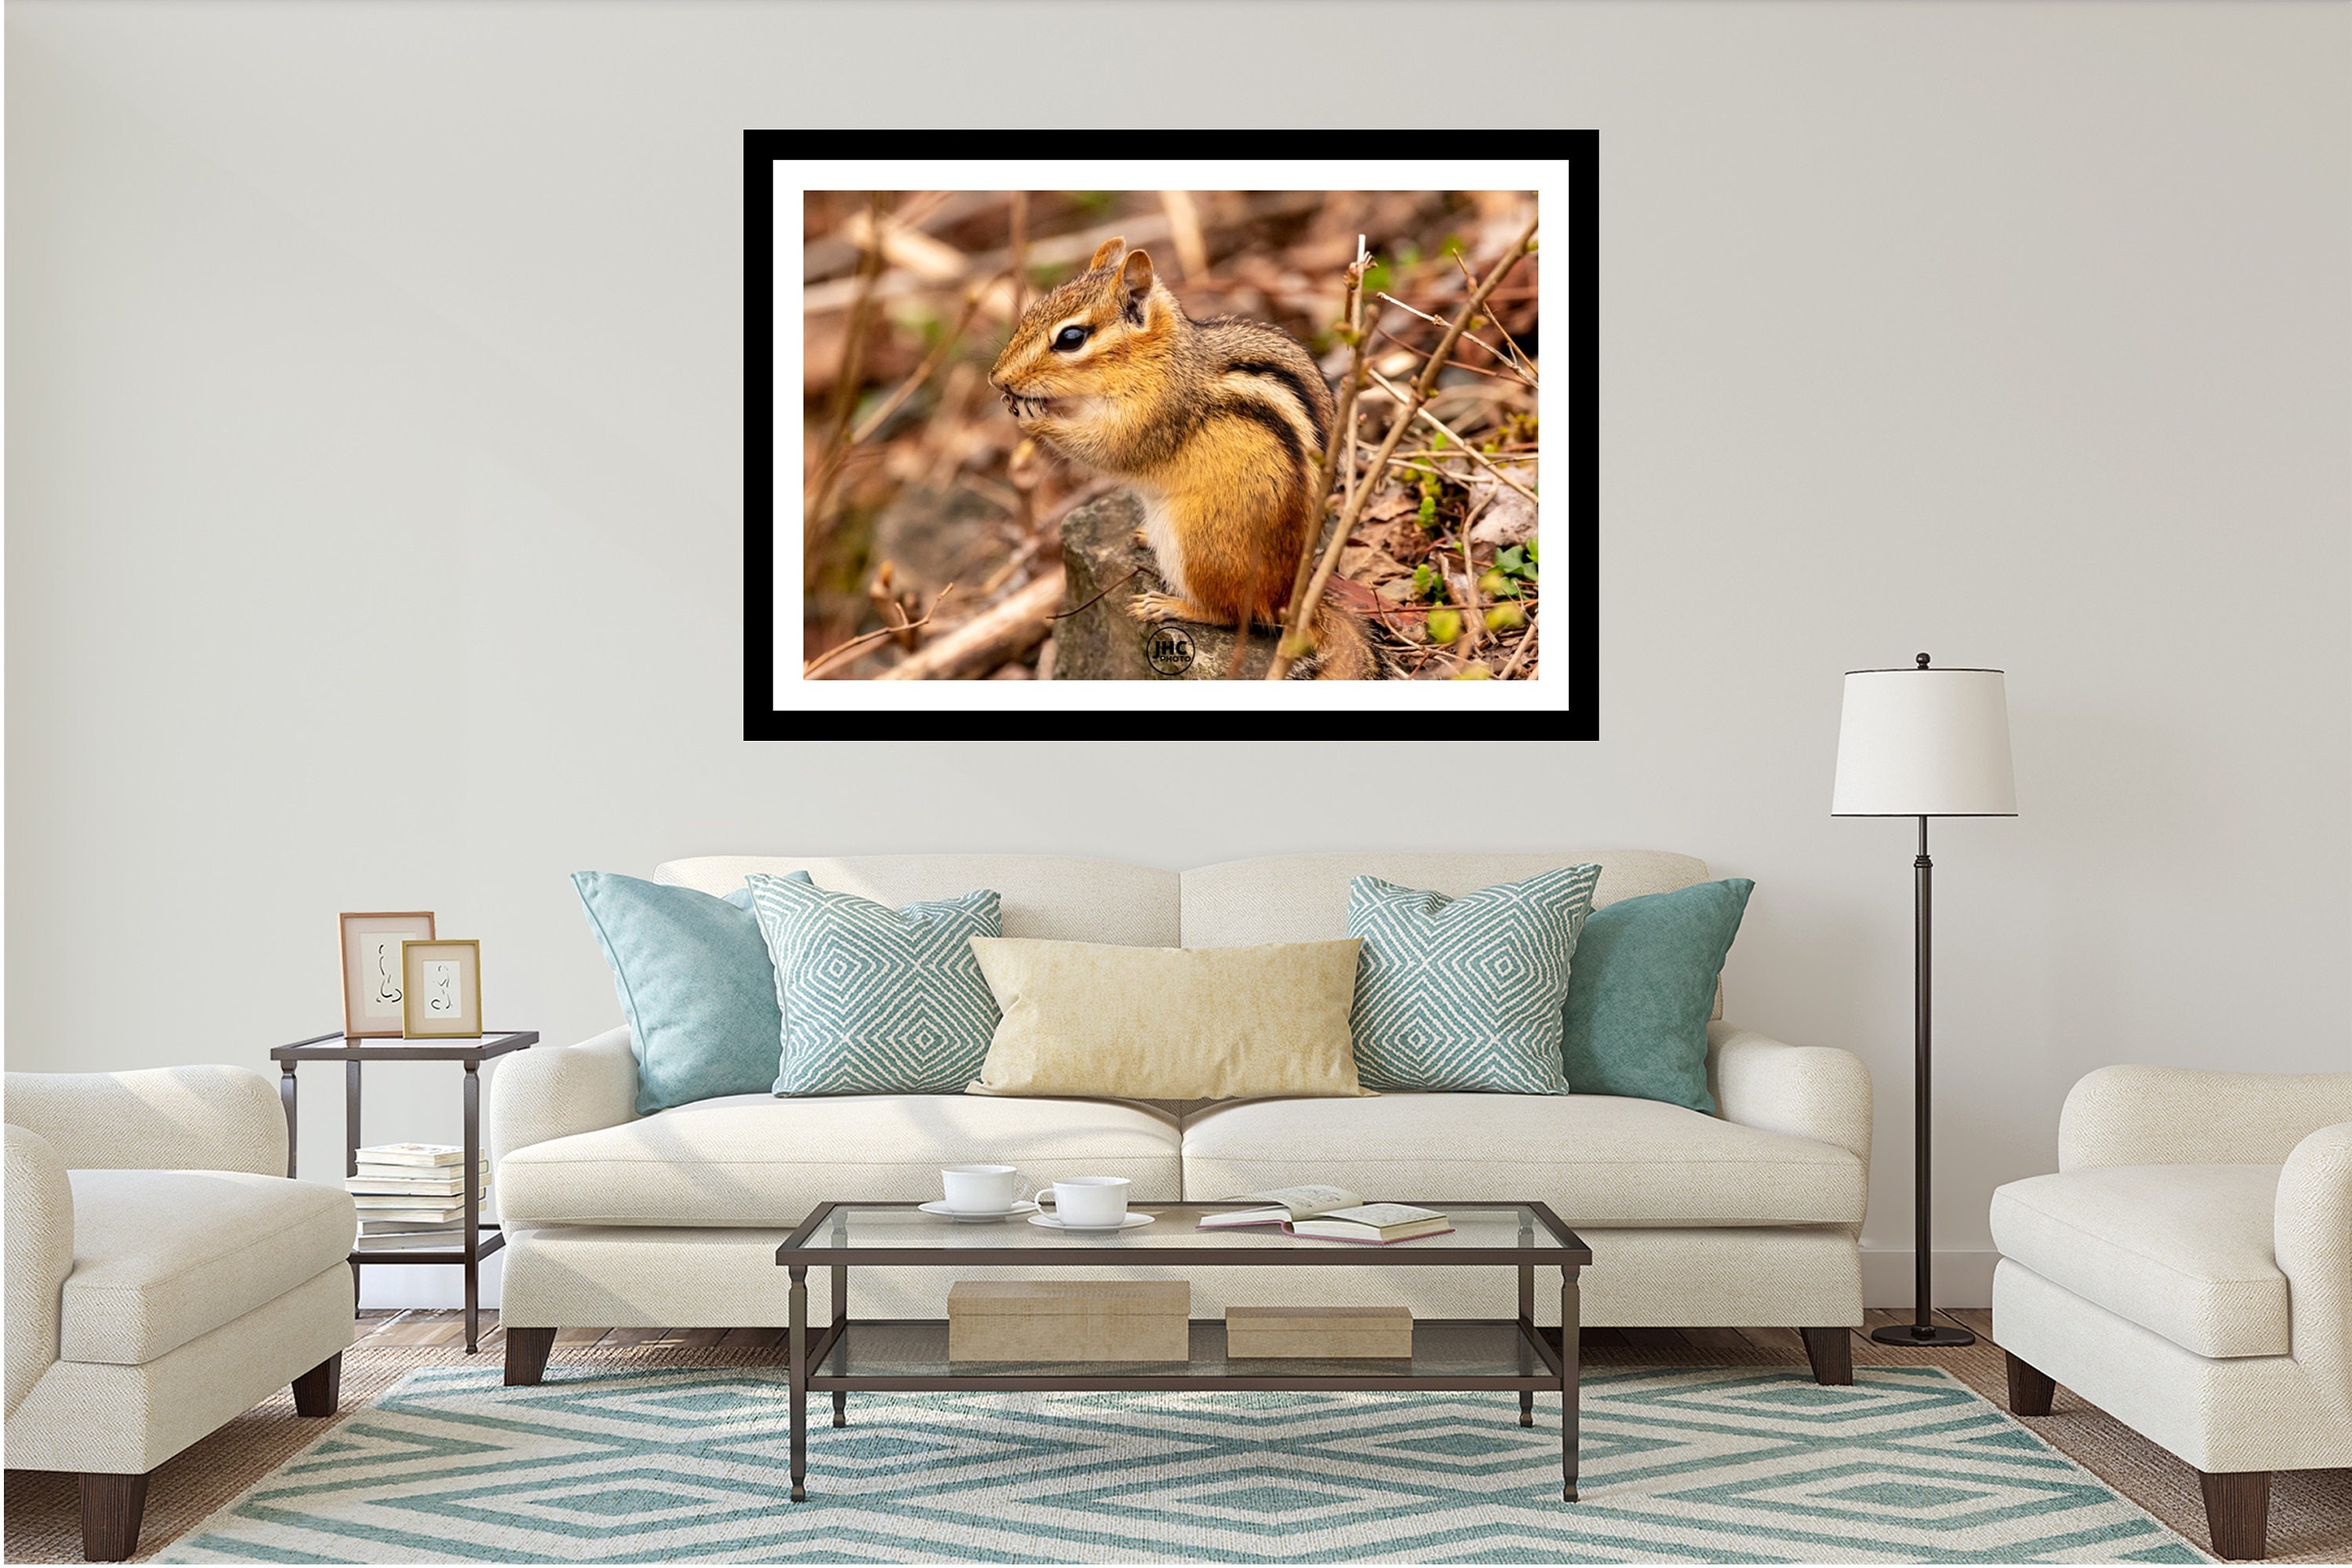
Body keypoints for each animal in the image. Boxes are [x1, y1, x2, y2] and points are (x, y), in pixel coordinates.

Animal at [988, 236, 1376, 680]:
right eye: (1029, 315)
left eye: (1071, 338)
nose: (996, 379)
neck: (1157, 358)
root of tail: (1287, 598)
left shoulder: (1150, 417)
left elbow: (1104, 448)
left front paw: (1036, 417)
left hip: (1196, 543)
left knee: (1233, 615)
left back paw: (1169, 605)